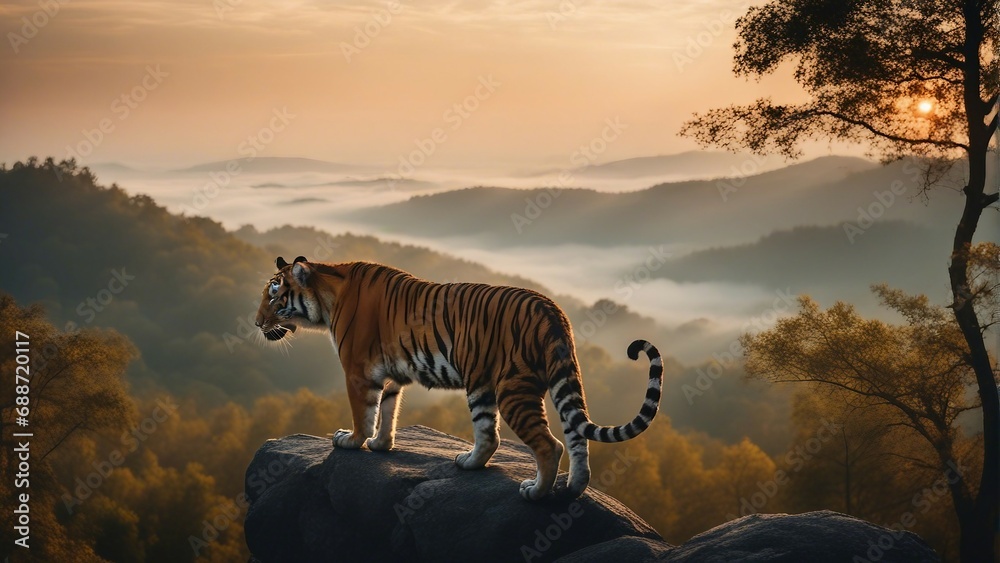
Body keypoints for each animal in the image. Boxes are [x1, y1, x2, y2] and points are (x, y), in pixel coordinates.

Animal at [255, 256, 663, 500]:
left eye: (275, 298)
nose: (256, 323)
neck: (327, 295)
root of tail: (551, 309)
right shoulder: (391, 375)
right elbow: (387, 410)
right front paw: (381, 444)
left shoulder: (357, 371)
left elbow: (363, 412)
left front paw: (352, 441)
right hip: (495, 386)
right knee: (540, 436)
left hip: (512, 389)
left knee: (550, 444)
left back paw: (535, 492)